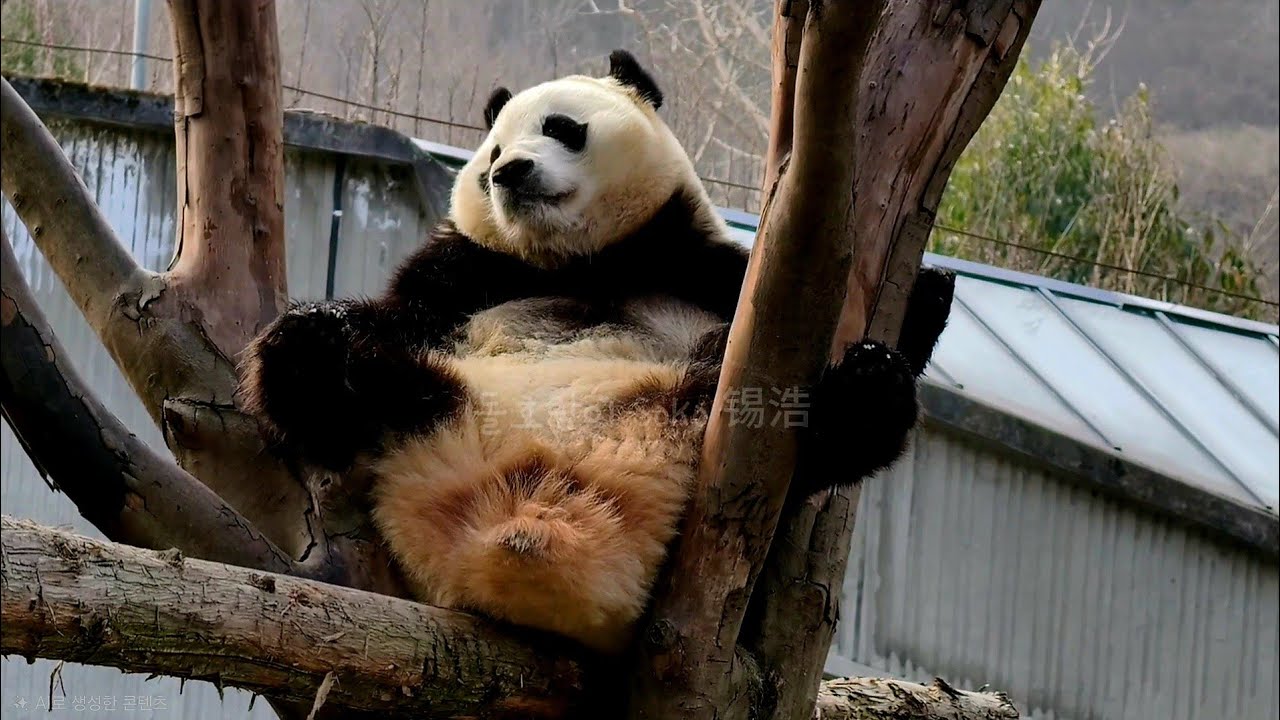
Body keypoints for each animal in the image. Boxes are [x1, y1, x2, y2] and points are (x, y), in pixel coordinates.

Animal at [238, 50, 954, 656]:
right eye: (492, 152)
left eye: (561, 127)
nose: (510, 172)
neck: (585, 260)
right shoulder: (465, 272)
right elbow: (392, 311)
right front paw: (316, 325)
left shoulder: (706, 270)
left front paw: (925, 296)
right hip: (429, 403)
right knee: (360, 392)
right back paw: (309, 352)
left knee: (823, 436)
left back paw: (871, 377)